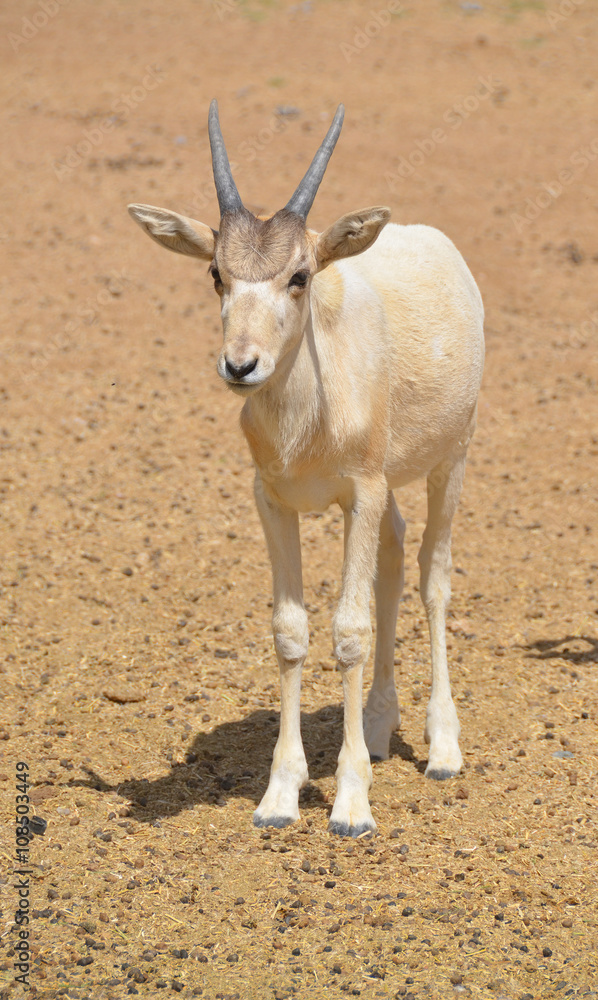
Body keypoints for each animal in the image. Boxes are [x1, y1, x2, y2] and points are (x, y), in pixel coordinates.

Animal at [128, 101, 484, 837]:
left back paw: (441, 748)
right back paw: (377, 729)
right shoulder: (276, 500)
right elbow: (290, 632)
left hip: (451, 459)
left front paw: (350, 805)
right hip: (387, 489)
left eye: (298, 275)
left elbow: (348, 631)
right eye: (216, 273)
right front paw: (279, 796)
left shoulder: (359, 494)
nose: (241, 365)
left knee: (434, 575)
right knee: (394, 559)